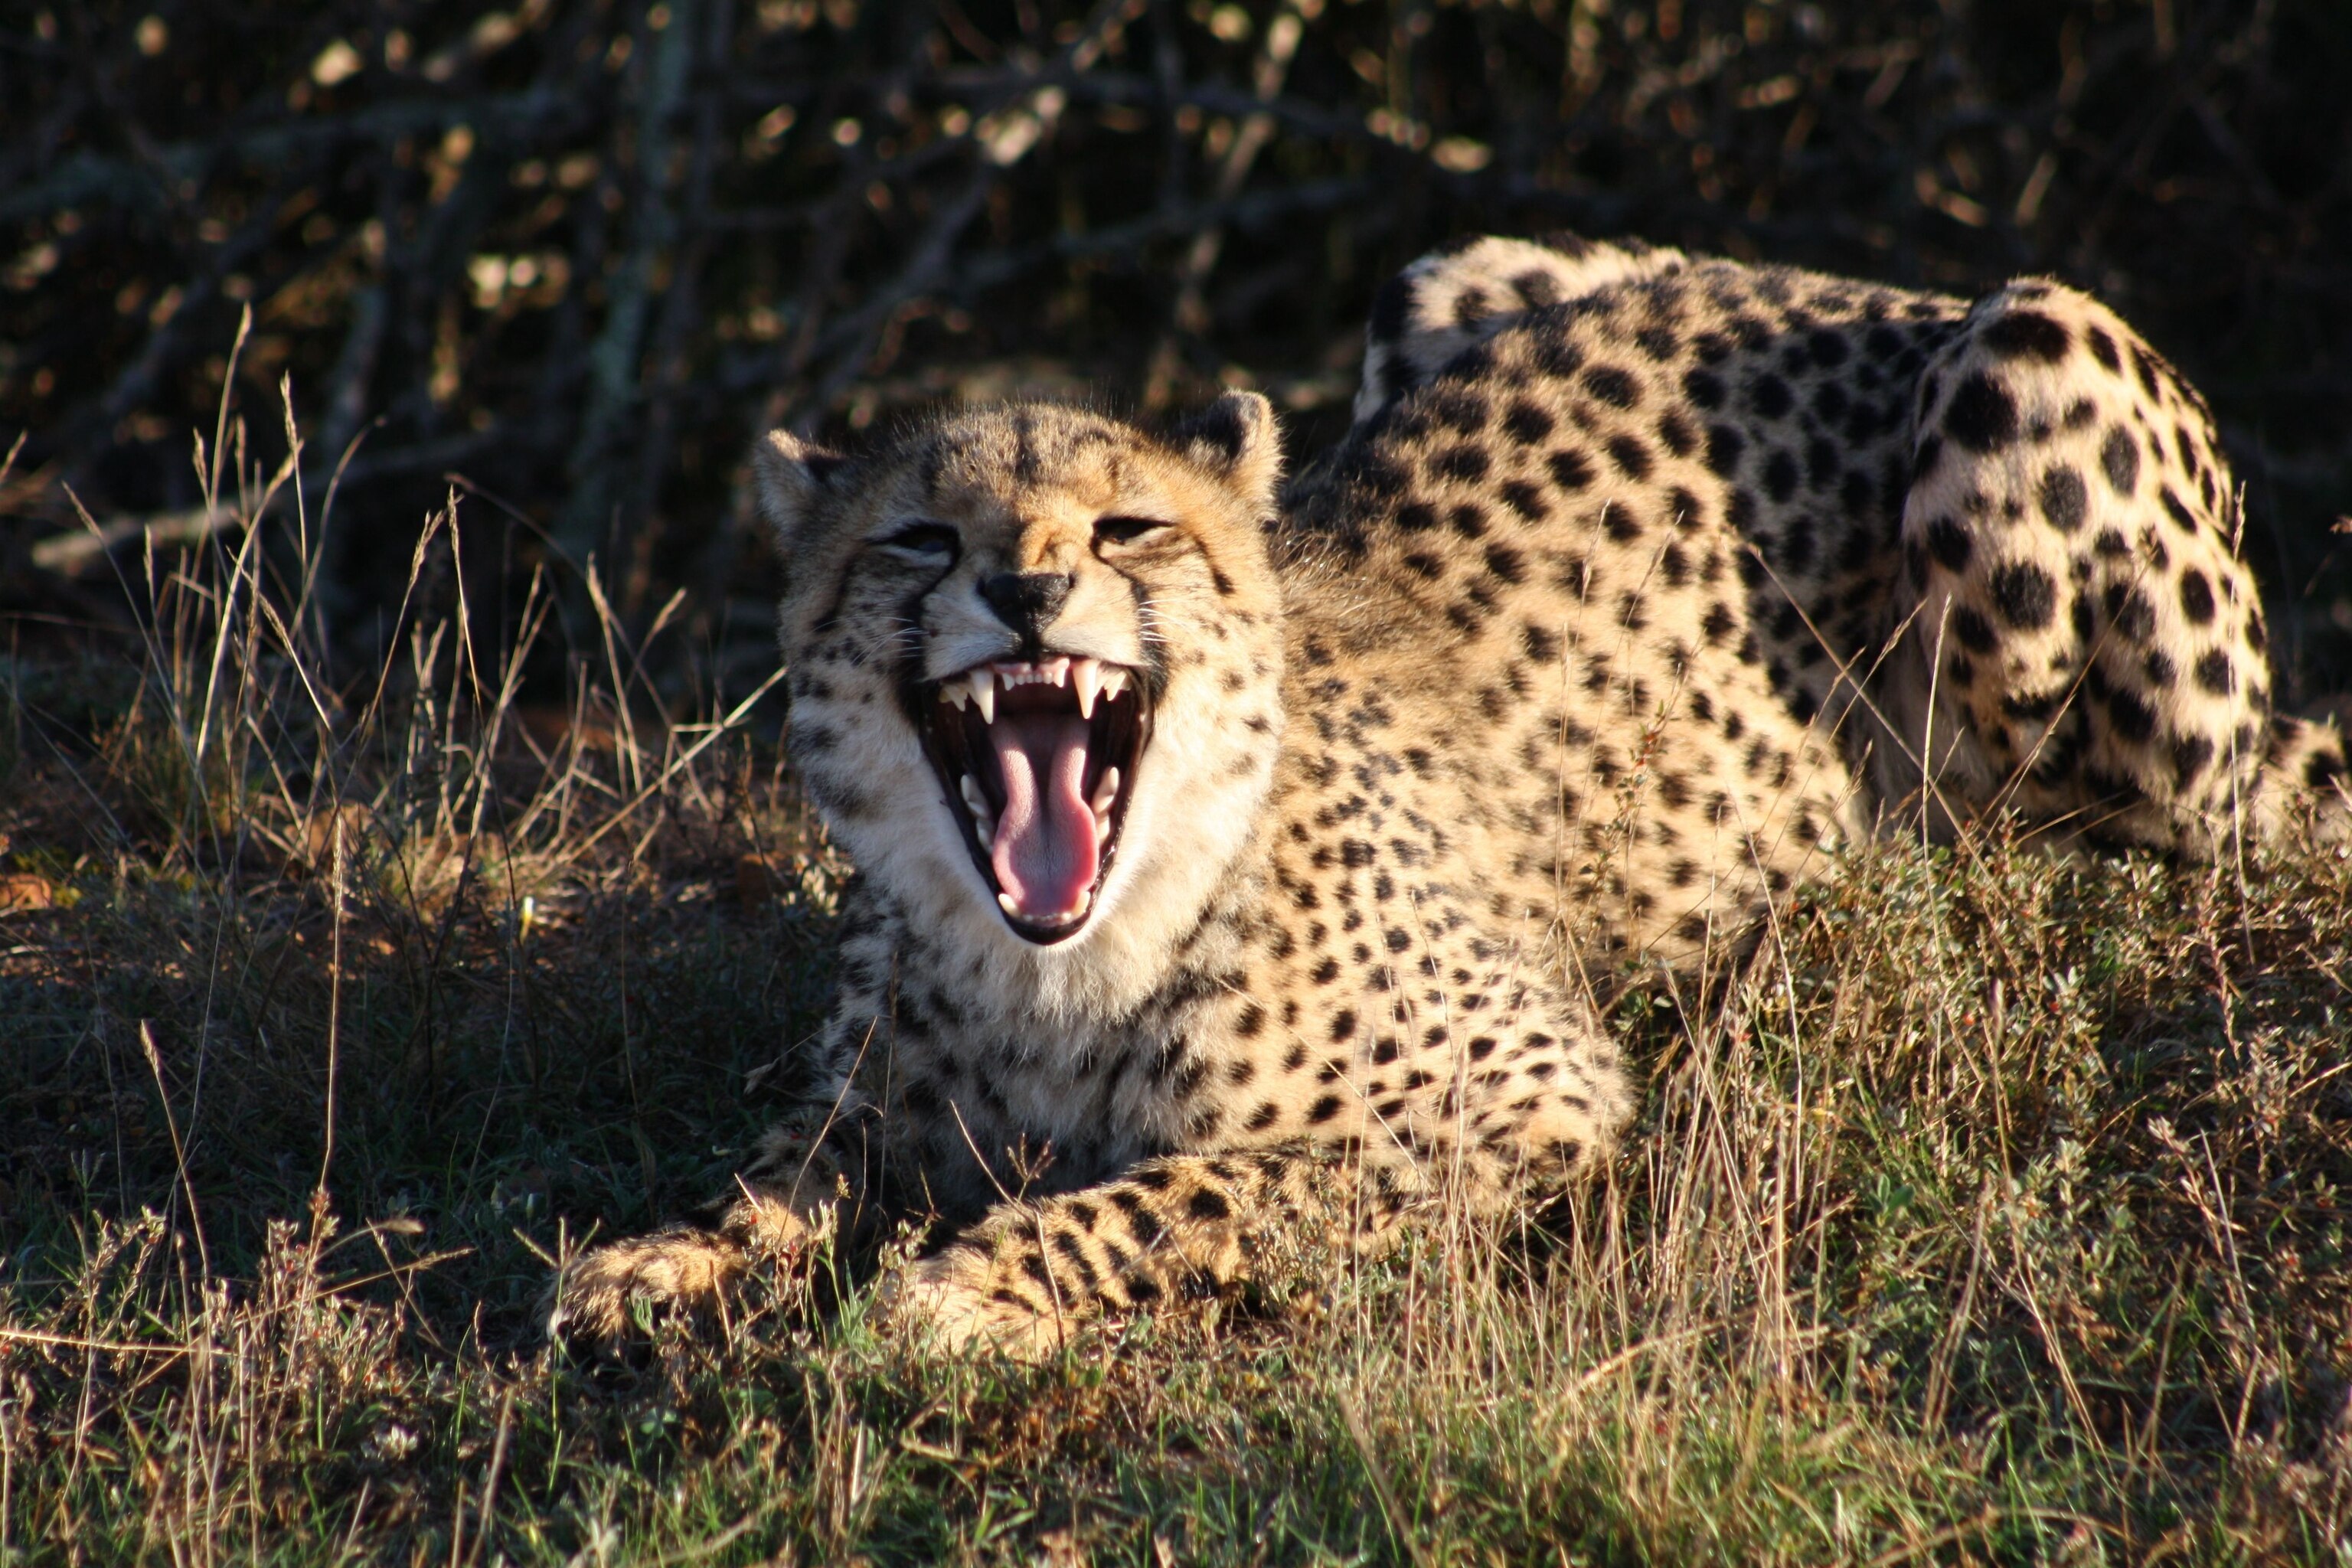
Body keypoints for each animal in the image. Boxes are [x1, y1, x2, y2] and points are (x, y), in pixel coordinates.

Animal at [548, 232, 2350, 1359]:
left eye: (1129, 528)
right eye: (916, 539)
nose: (1027, 590)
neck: (1052, 961)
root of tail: (1863, 288)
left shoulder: (1522, 1091)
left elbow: (1189, 1181)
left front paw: (962, 1288)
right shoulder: (874, 1109)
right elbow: (782, 1173)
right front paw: (660, 1257)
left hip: (2027, 367)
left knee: (2159, 835)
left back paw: (1892, 881)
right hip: (1442, 276)